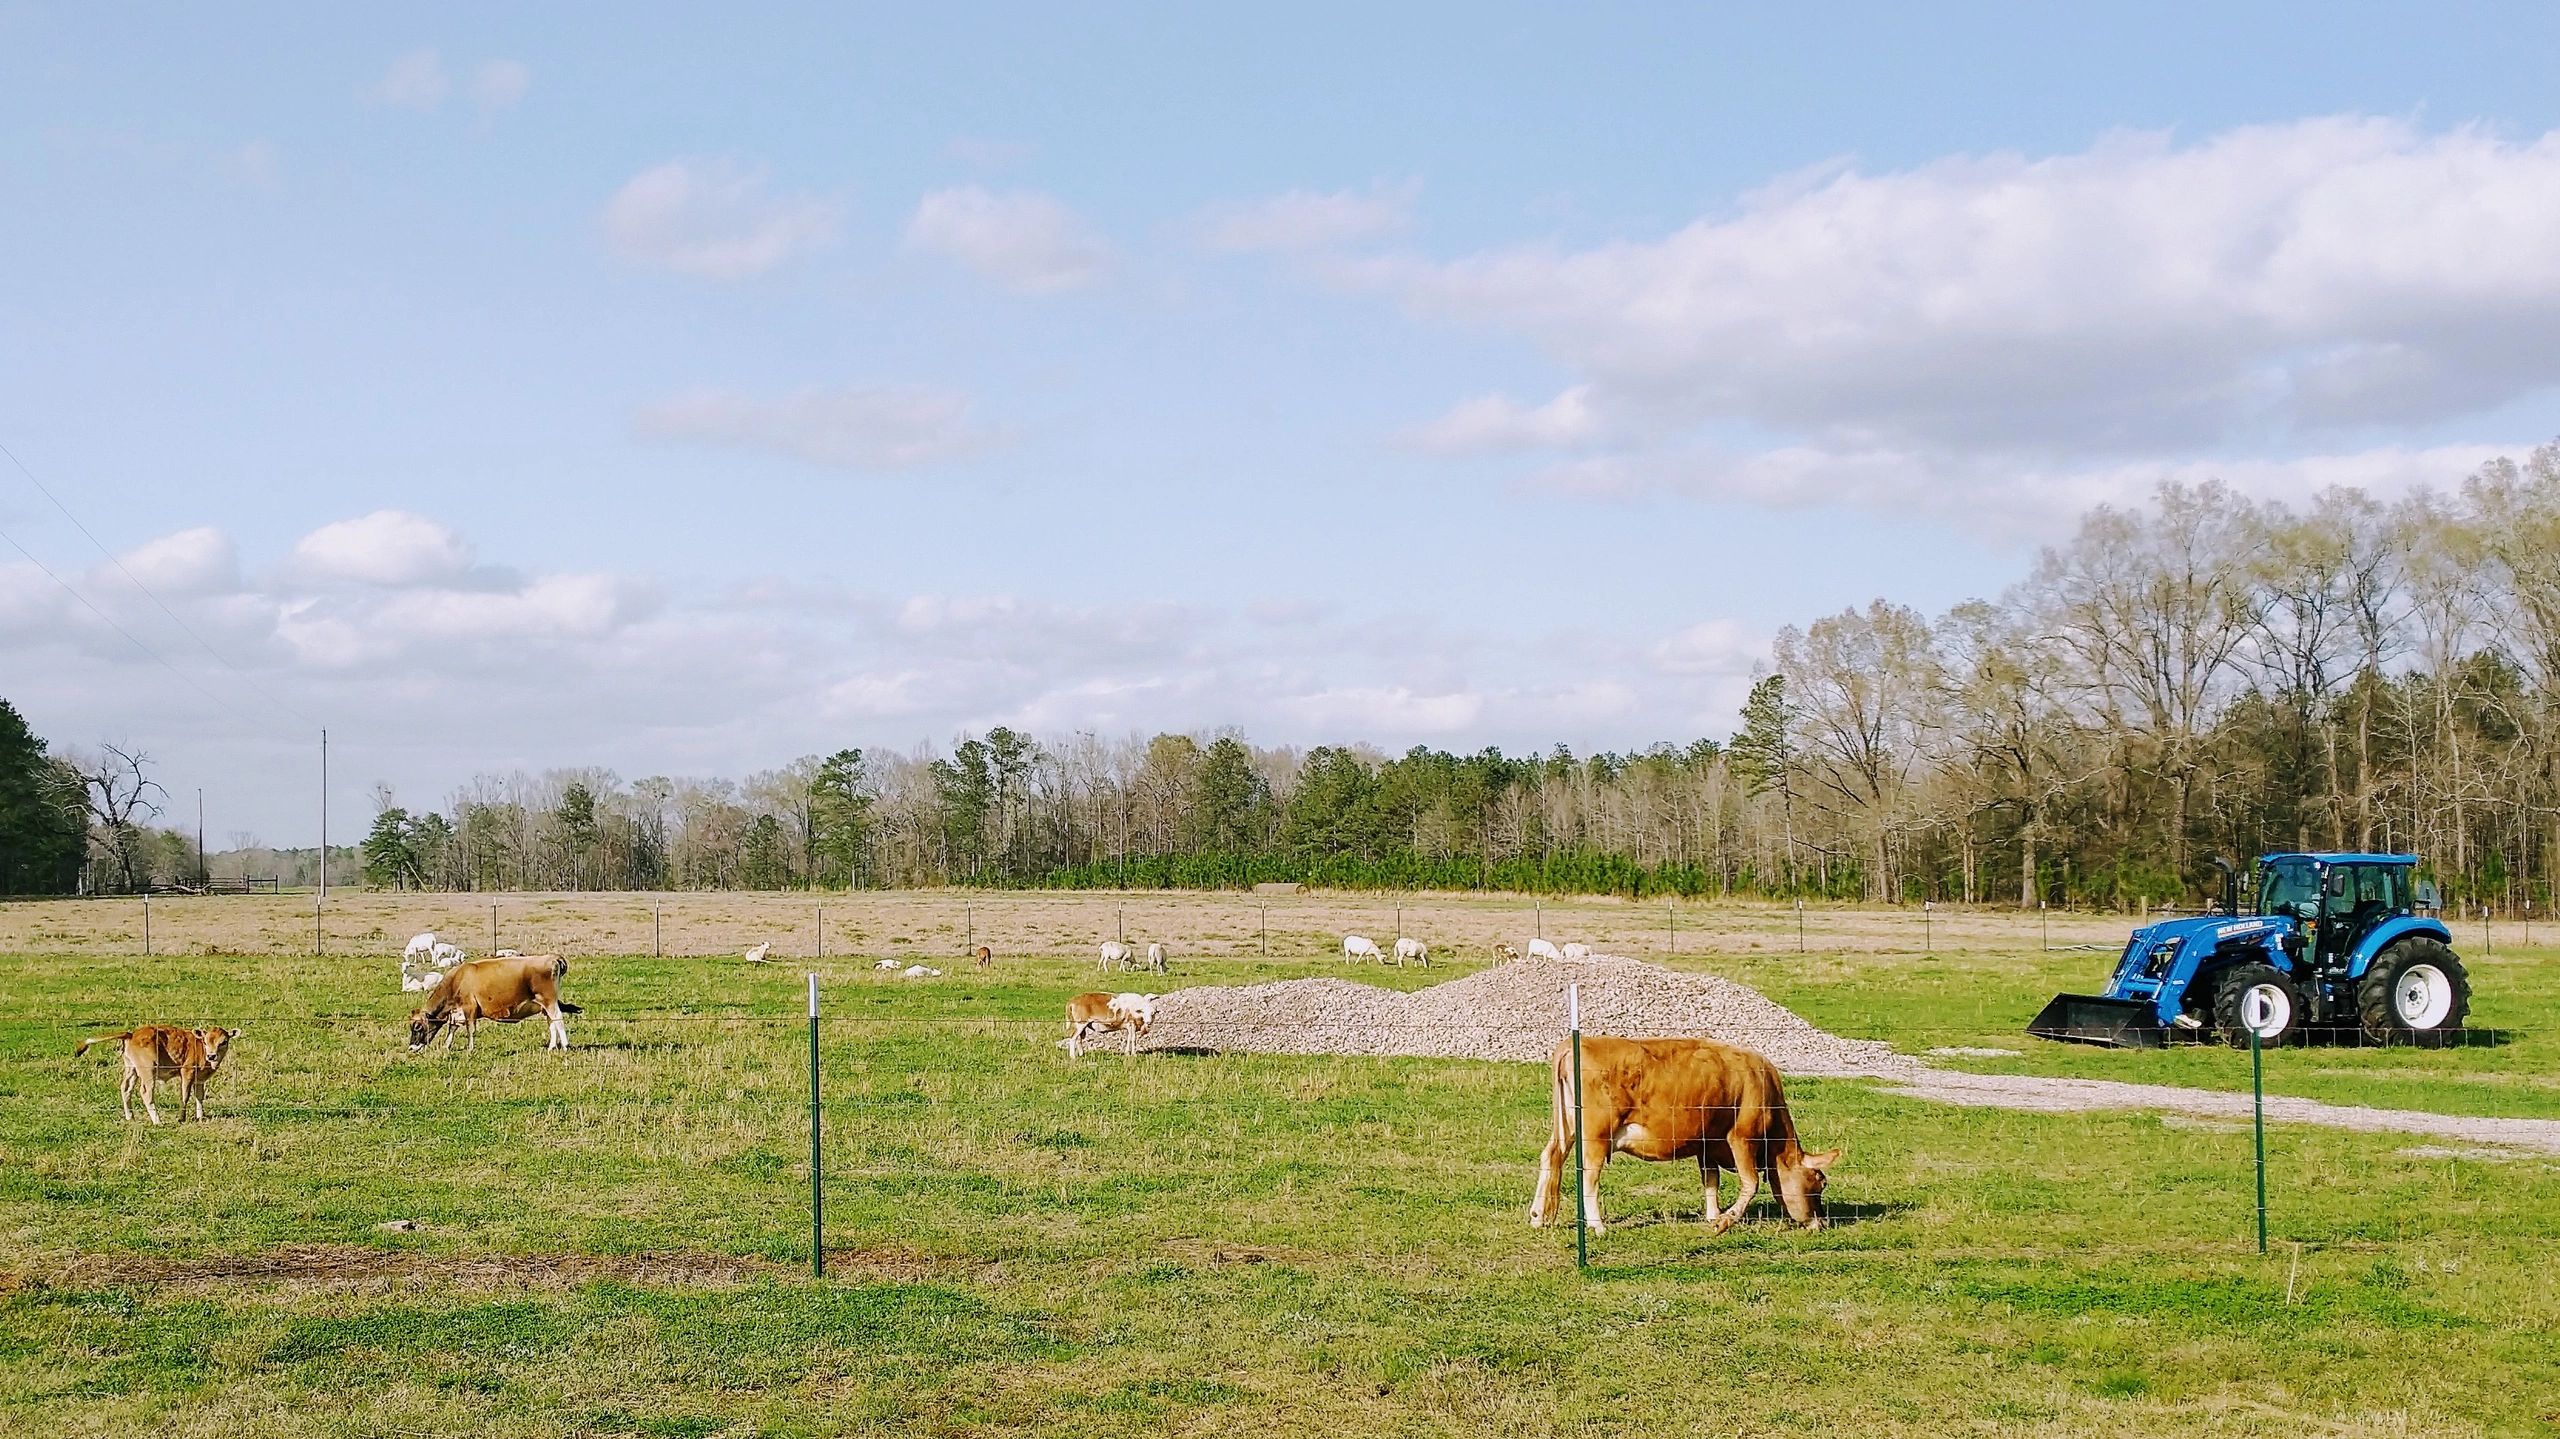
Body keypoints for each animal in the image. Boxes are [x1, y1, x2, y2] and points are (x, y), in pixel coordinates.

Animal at [76, 1025, 237, 1124]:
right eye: (205, 1041)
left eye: (224, 1042)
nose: (212, 1056)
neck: (198, 1047)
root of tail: (132, 1034)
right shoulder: (187, 1072)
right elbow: (185, 1095)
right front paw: (181, 1118)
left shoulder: (200, 1080)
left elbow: (199, 1097)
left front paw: (200, 1117)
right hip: (148, 1071)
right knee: (145, 1092)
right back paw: (157, 1121)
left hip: (131, 1069)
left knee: (125, 1088)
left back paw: (130, 1116)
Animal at [408, 955, 579, 1055]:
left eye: (417, 1028)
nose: (411, 1047)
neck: (457, 979)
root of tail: (552, 957)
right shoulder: (457, 1012)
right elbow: (452, 1028)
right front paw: (446, 1046)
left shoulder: (469, 1007)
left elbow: (471, 1029)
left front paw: (470, 1049)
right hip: (545, 1004)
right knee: (552, 1022)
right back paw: (552, 1046)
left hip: (549, 1000)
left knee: (558, 1018)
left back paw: (564, 1045)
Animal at [1530, 1036, 1841, 1237]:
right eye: (1819, 1183)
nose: (1821, 1223)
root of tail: (1576, 1043)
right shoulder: (1741, 1137)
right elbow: (1750, 1183)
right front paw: (1724, 1222)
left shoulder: (1707, 1142)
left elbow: (1711, 1180)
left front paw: (1713, 1215)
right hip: (1596, 1135)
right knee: (1589, 1176)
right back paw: (1597, 1226)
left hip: (1566, 1127)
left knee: (1551, 1156)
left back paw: (1537, 1217)